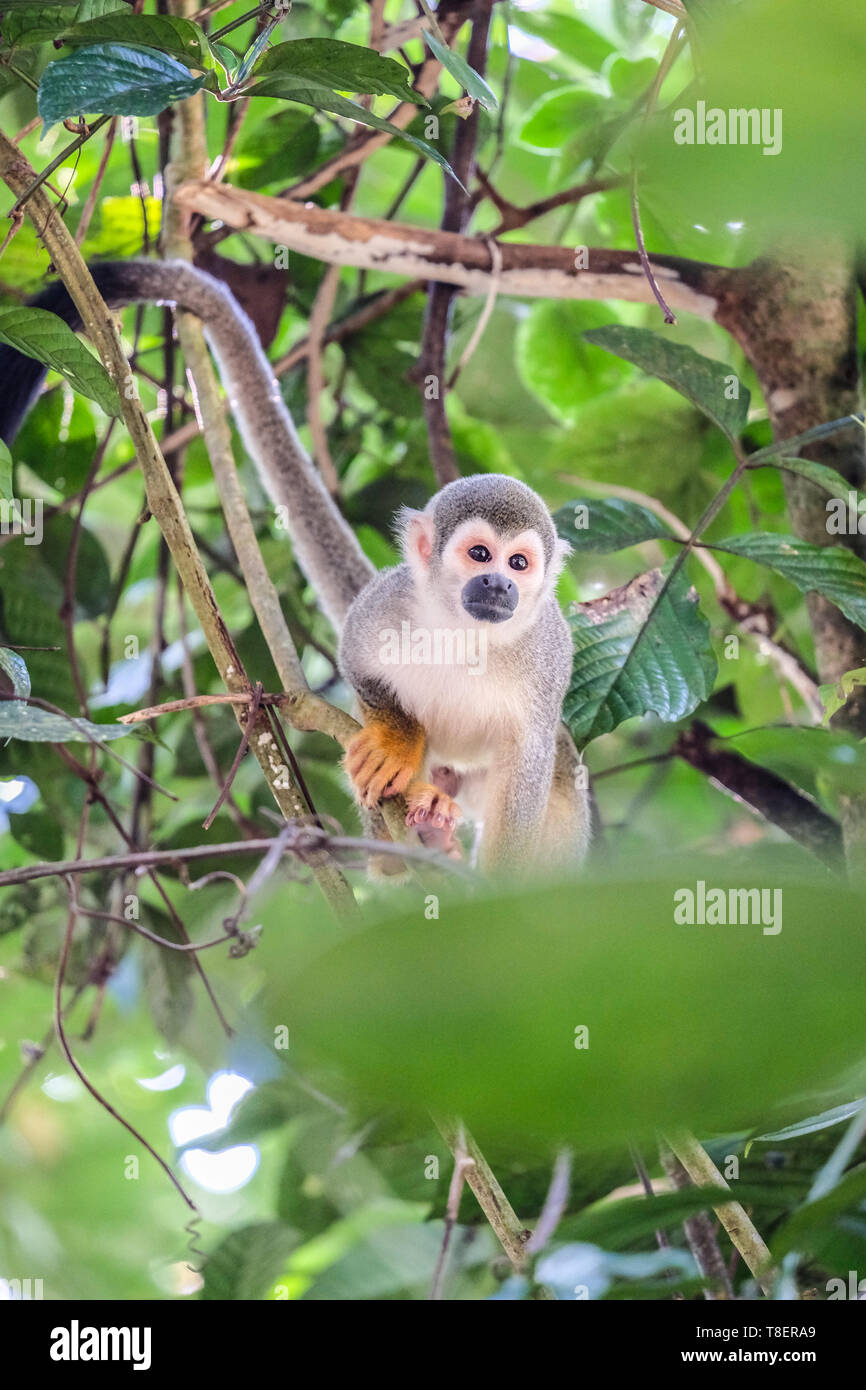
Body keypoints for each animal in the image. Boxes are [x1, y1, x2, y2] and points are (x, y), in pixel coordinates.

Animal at [0, 260, 590, 875]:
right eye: (480, 555)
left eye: (519, 563)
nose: (499, 584)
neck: (462, 632)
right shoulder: (391, 605)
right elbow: (358, 661)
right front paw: (396, 741)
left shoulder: (546, 656)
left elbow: (530, 765)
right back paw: (410, 840)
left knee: (562, 771)